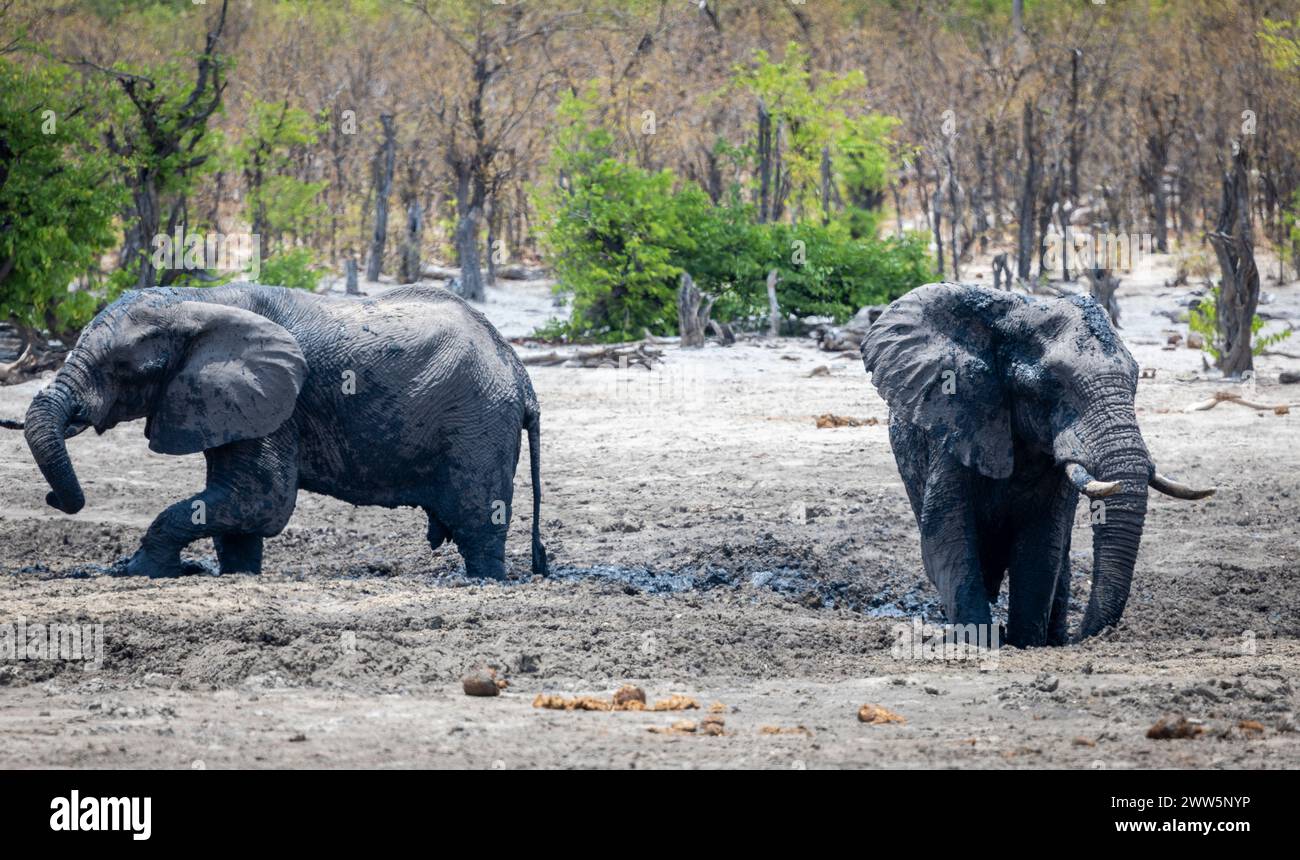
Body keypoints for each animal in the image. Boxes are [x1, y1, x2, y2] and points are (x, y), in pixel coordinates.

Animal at [18, 282, 548, 581]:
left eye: (128, 369)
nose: (51, 498)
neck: (197, 302)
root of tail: (520, 372)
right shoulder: (231, 403)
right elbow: (239, 508)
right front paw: (235, 574)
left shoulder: (280, 403)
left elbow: (263, 500)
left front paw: (141, 571)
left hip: (479, 422)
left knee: (478, 521)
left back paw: (484, 581)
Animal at [861, 283, 1213, 647]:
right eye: (1053, 384)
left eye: (1136, 379)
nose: (1083, 636)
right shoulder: (955, 420)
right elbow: (946, 535)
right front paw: (980, 642)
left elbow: (1042, 543)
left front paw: (1024, 642)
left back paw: (1053, 638)